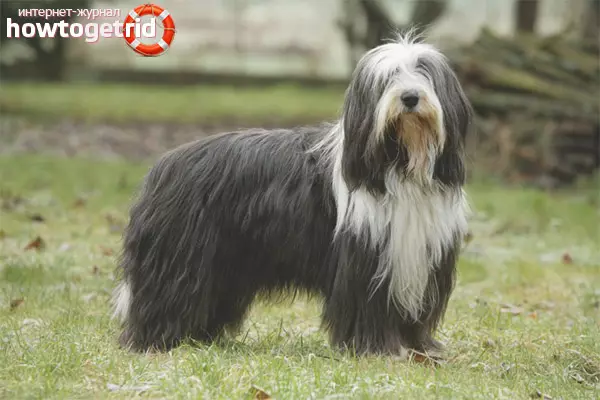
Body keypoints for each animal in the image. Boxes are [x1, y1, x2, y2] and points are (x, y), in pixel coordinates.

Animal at [112, 34, 474, 358]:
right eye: (387, 79)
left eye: (424, 73)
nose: (410, 97)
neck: (400, 165)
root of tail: (163, 165)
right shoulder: (366, 257)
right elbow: (368, 306)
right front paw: (379, 349)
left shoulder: (419, 257)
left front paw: (419, 348)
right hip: (180, 256)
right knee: (164, 296)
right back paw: (155, 341)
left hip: (224, 265)